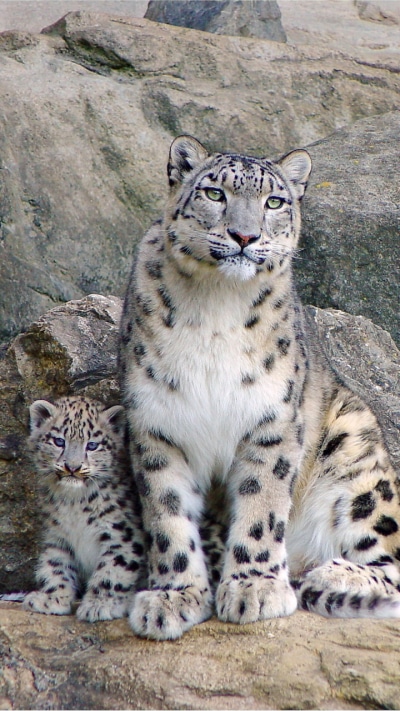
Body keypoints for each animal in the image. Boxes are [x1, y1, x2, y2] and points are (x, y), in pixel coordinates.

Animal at [24, 395, 146, 622]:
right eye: (59, 441)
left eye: (92, 445)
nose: (72, 467)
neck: (74, 503)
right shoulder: (57, 535)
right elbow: (55, 565)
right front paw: (51, 598)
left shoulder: (122, 535)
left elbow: (113, 569)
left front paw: (100, 605)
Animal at [119, 135, 400, 640]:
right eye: (215, 194)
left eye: (274, 202)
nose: (244, 237)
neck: (214, 306)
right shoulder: (155, 425)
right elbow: (166, 515)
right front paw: (173, 596)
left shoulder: (272, 420)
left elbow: (262, 506)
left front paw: (255, 588)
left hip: (357, 454)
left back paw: (330, 573)